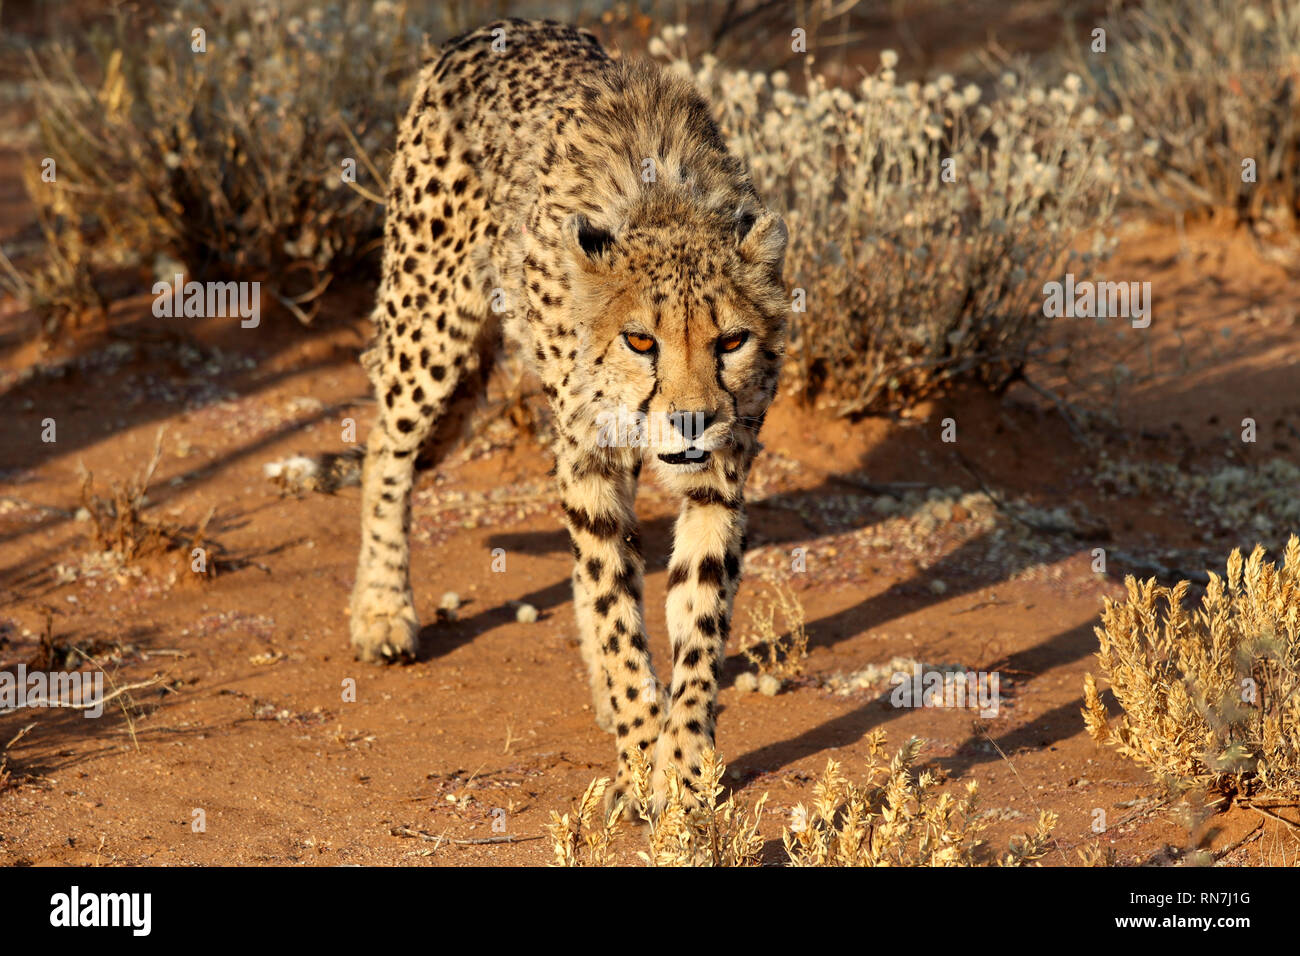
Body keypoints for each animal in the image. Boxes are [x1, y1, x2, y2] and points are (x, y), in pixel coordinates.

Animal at [348, 17, 788, 814]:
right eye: (641, 340)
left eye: (731, 341)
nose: (690, 423)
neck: (665, 209)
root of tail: (499, 27)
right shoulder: (589, 455)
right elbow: (615, 607)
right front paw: (643, 752)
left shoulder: (719, 476)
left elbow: (698, 616)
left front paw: (685, 765)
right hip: (429, 322)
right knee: (386, 452)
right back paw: (381, 609)